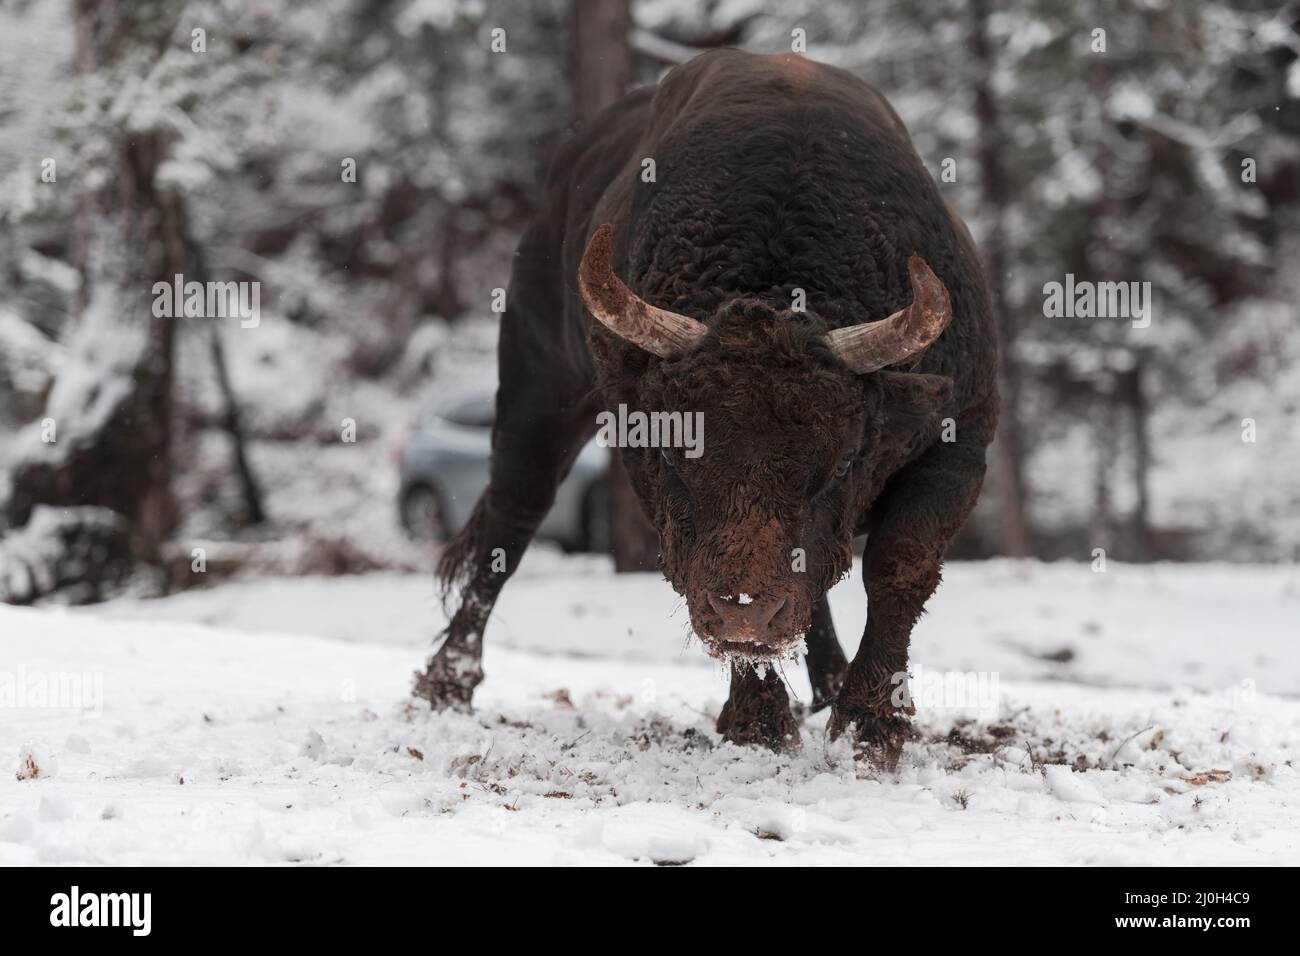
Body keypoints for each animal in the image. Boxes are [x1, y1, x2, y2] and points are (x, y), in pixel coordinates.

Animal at [415, 49, 999, 769]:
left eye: (842, 465)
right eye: (676, 456)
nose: (747, 611)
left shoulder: (959, 444)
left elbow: (896, 567)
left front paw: (869, 723)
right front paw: (758, 721)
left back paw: (830, 685)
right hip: (537, 392)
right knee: (511, 520)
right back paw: (446, 684)